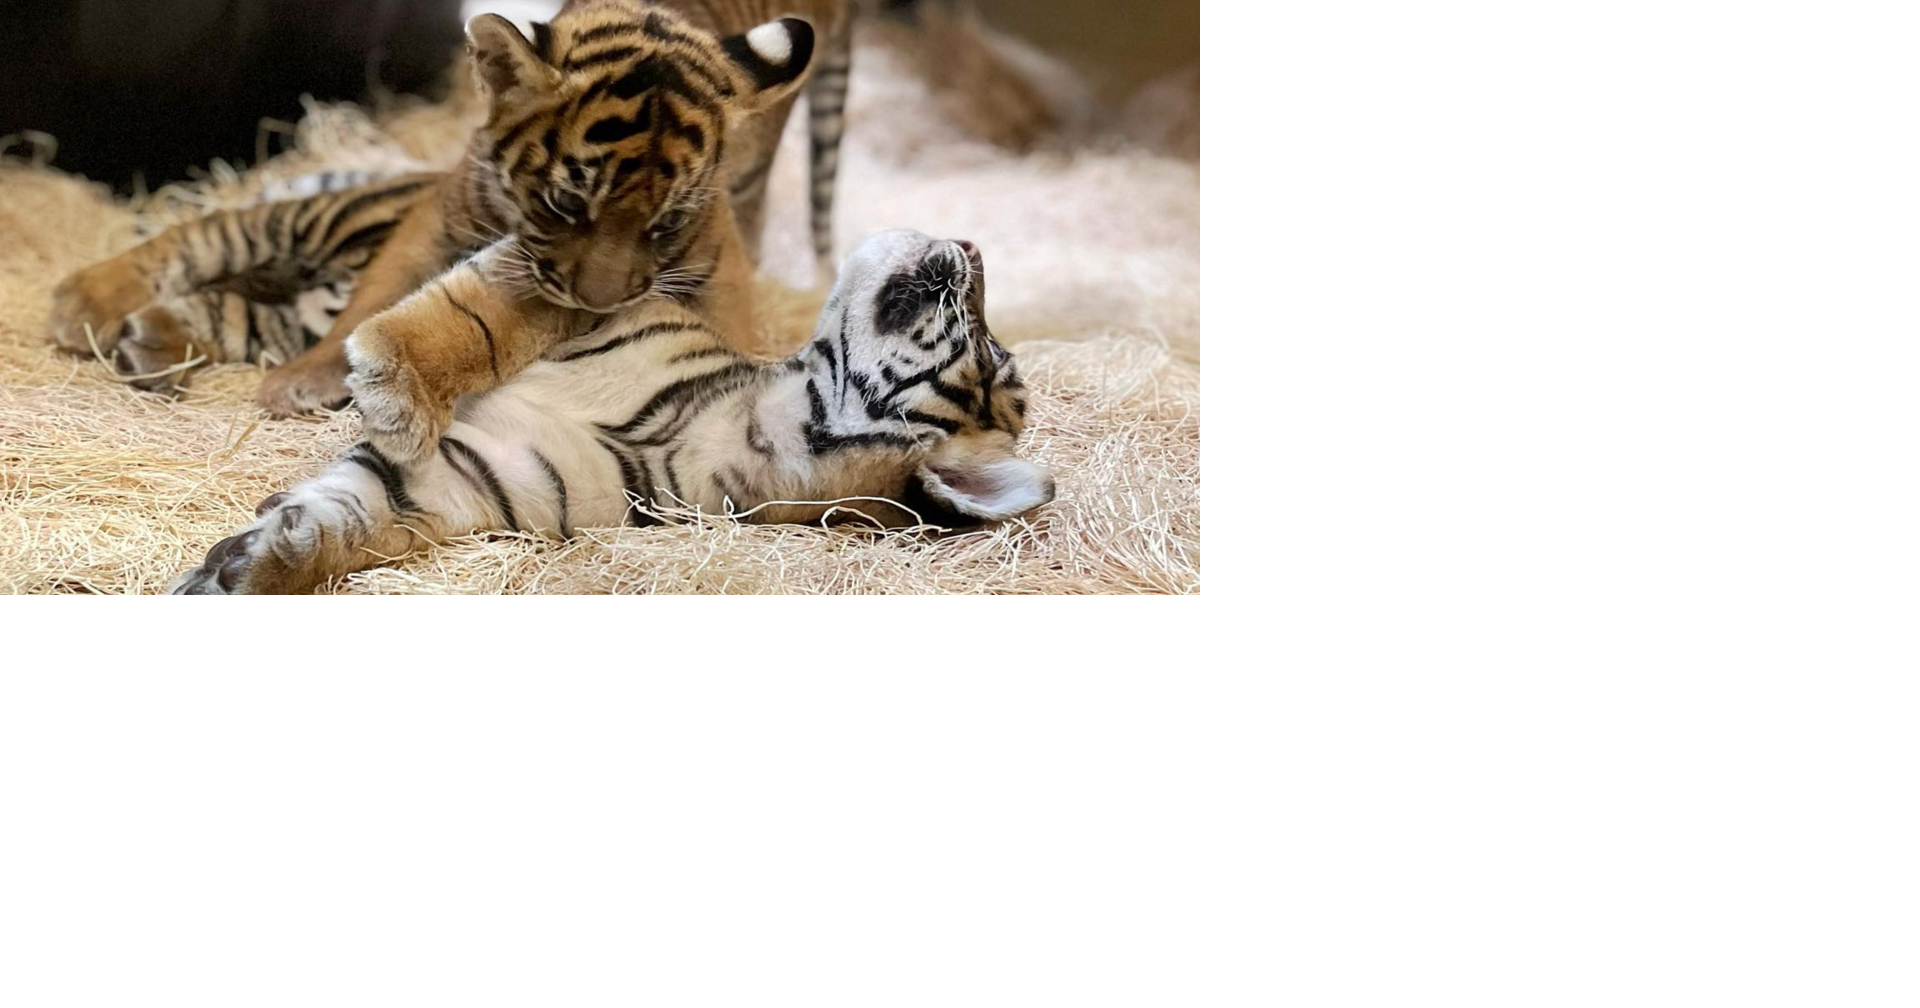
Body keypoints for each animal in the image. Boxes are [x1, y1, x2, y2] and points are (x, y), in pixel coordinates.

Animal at [47, 0, 853, 415]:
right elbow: (369, 302)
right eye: (566, 202)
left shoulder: (705, 267)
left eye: (666, 224)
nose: (597, 304)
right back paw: (87, 299)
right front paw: (309, 375)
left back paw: (149, 342)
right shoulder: (435, 220)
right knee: (212, 234)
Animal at [168, 229, 1054, 594]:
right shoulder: (605, 305)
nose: (972, 246)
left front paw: (262, 561)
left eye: (990, 355)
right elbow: (479, 317)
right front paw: (393, 383)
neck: (745, 428)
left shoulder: (458, 479)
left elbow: (358, 514)